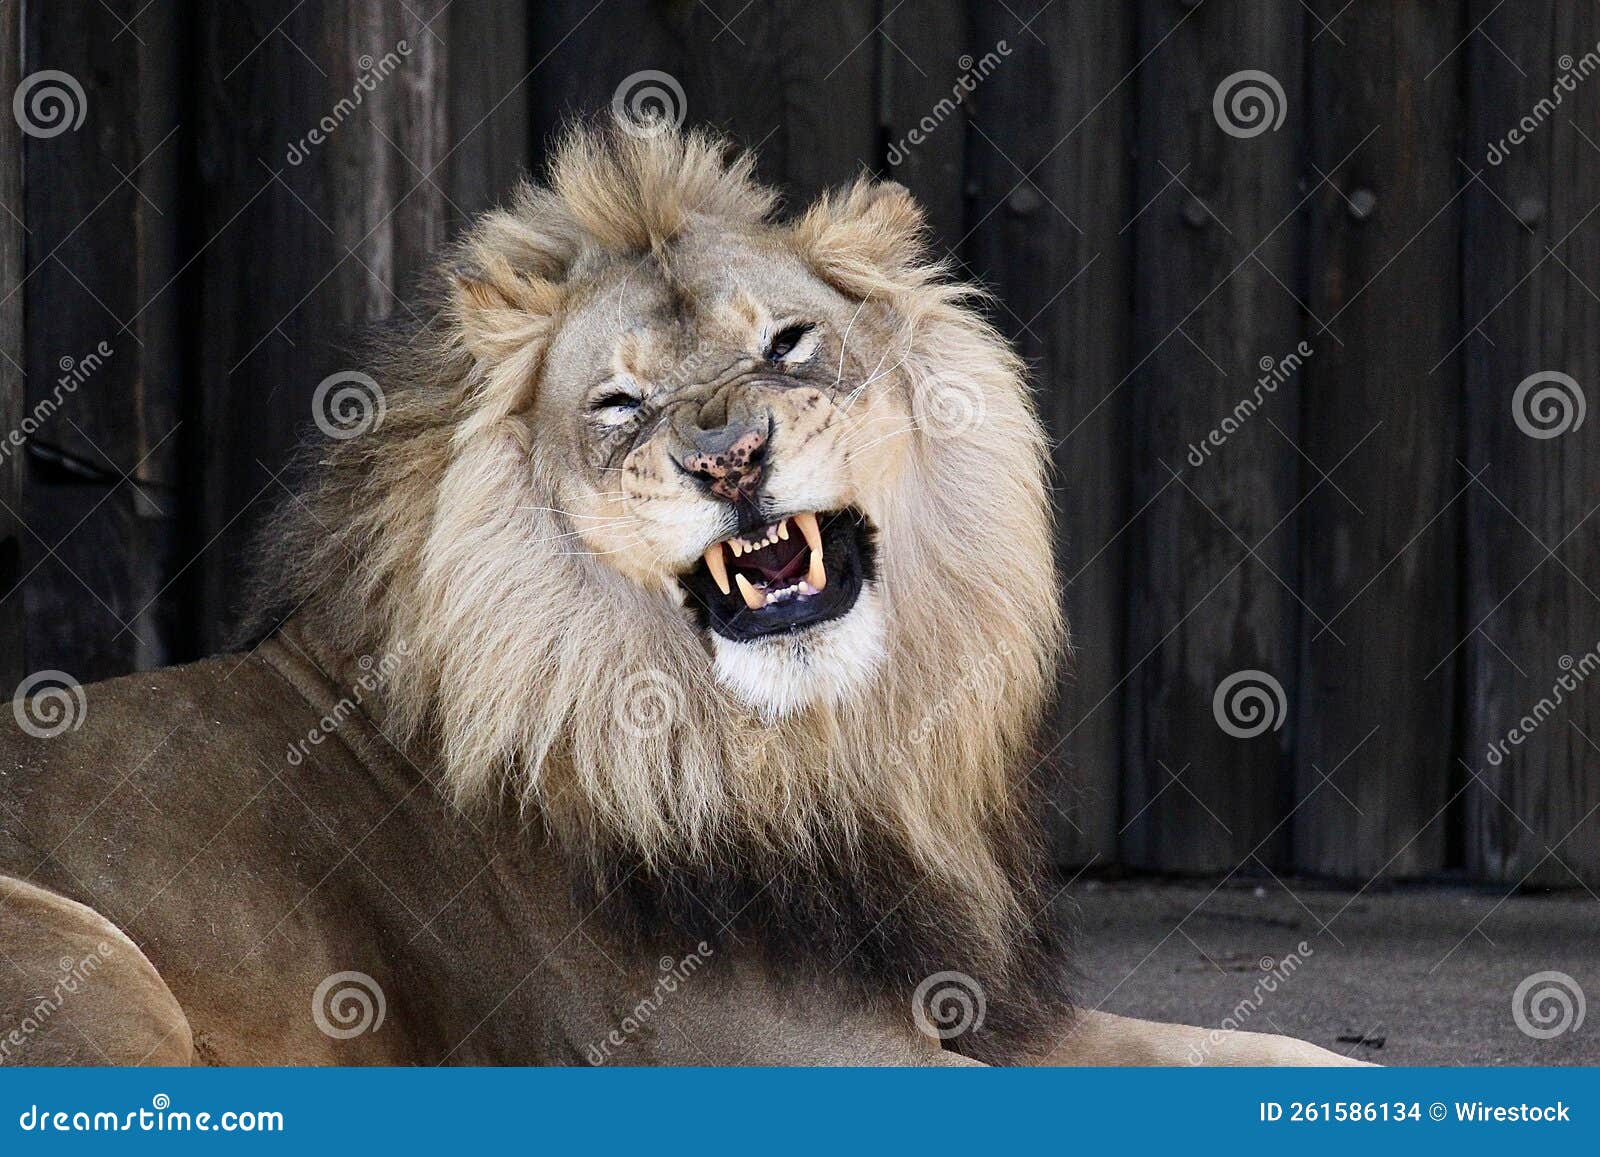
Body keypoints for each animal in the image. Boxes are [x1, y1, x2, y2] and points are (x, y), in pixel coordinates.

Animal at [0, 122, 1357, 1067]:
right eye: (620, 403)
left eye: (787, 344)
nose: (729, 456)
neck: (808, 748)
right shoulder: (790, 1050)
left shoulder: (977, 1006)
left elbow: (1263, 1050)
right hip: (90, 959)